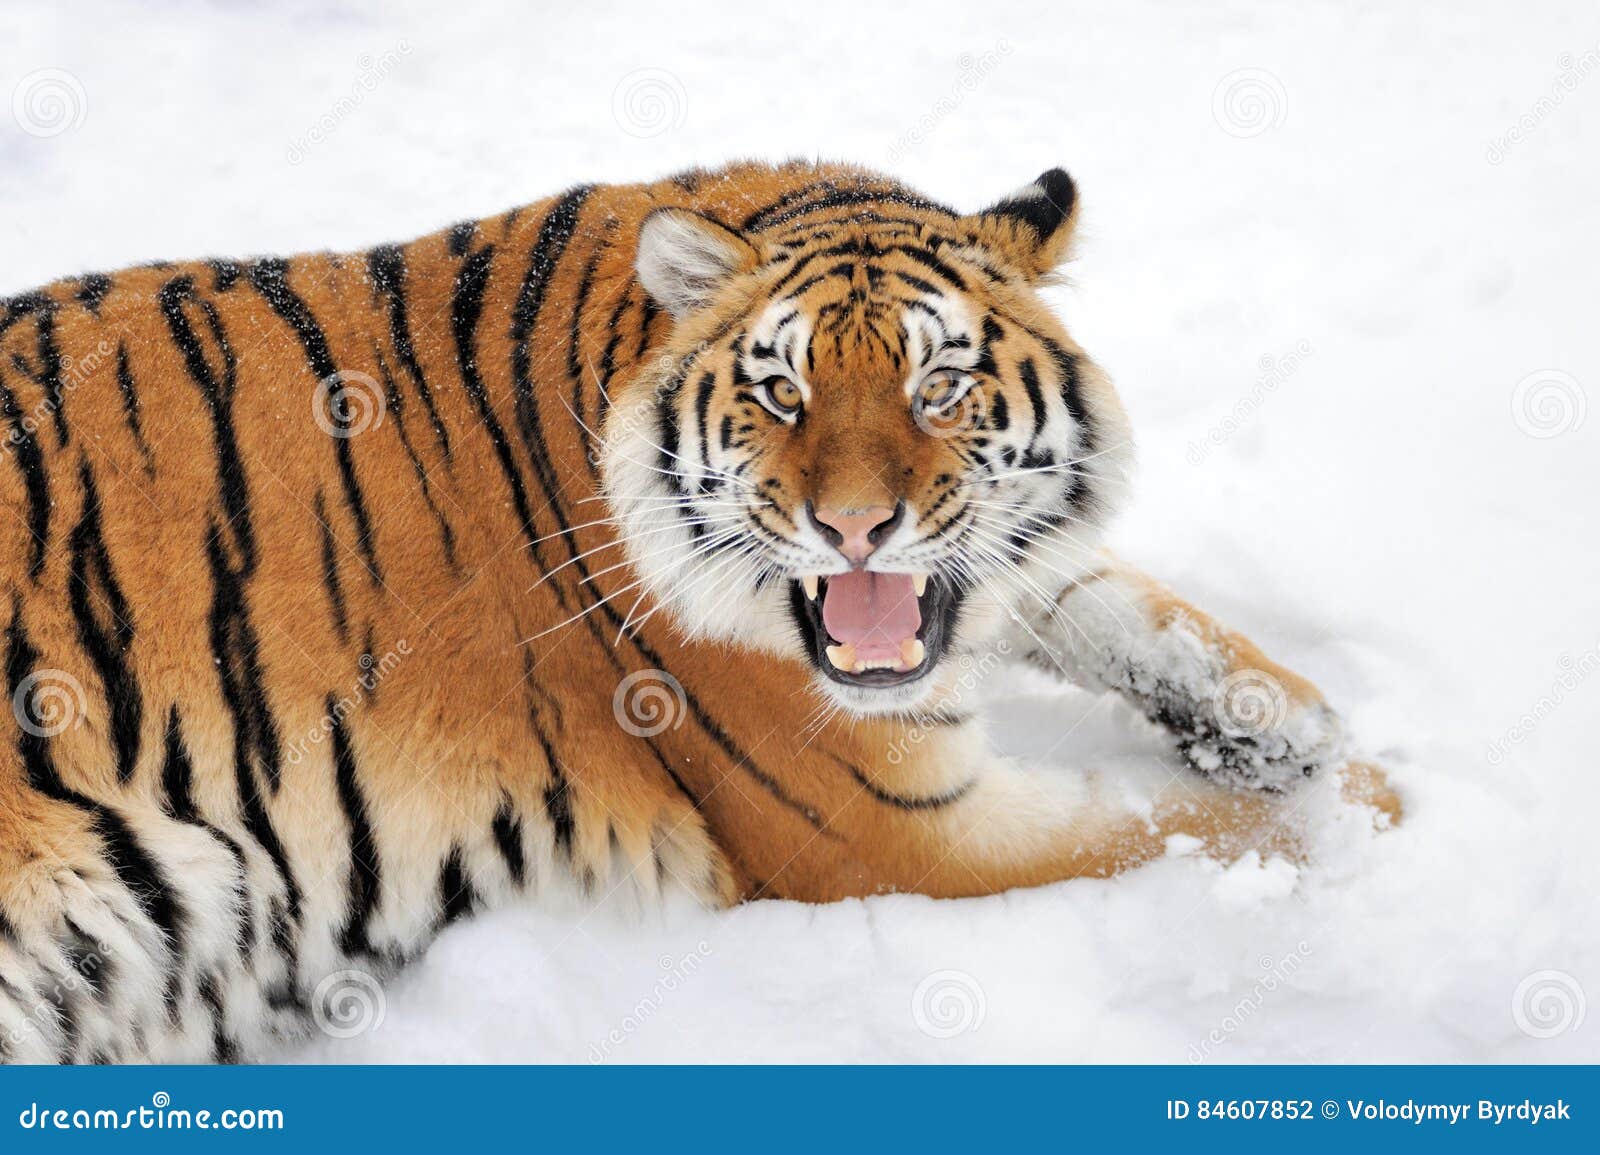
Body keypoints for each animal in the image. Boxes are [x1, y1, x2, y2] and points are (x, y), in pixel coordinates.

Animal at [0, 159, 1398, 1063]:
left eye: (936, 386)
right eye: (782, 392)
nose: (855, 529)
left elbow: (1131, 614)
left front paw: (1292, 731)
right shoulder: (897, 831)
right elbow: (1173, 829)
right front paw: (1367, 818)